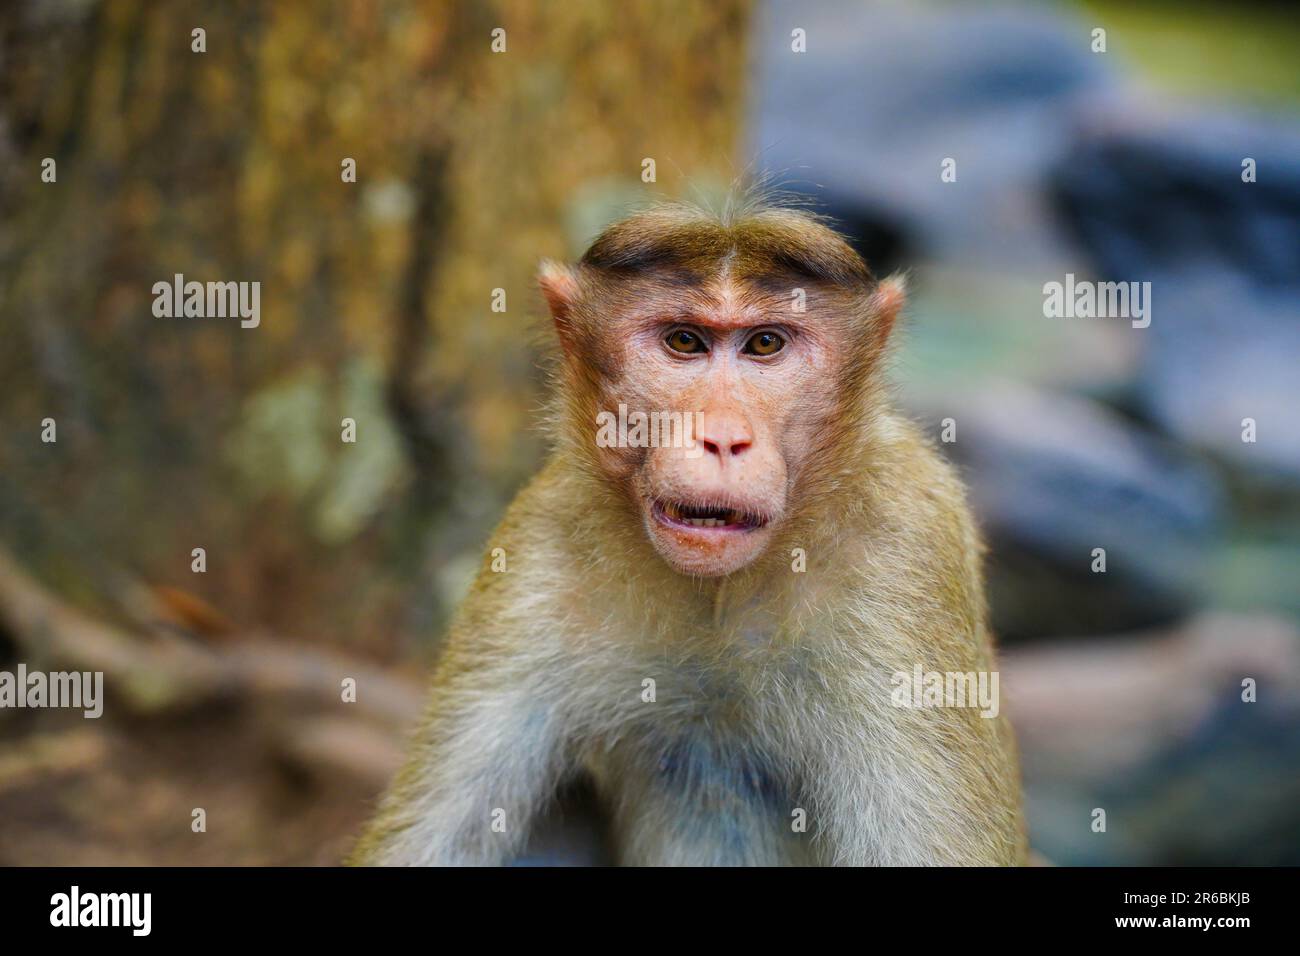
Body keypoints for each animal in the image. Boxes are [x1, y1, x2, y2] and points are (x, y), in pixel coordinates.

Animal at [350, 196, 1027, 866]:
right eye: (684, 341)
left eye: (764, 344)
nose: (723, 438)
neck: (720, 593)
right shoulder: (538, 547)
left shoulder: (908, 545)